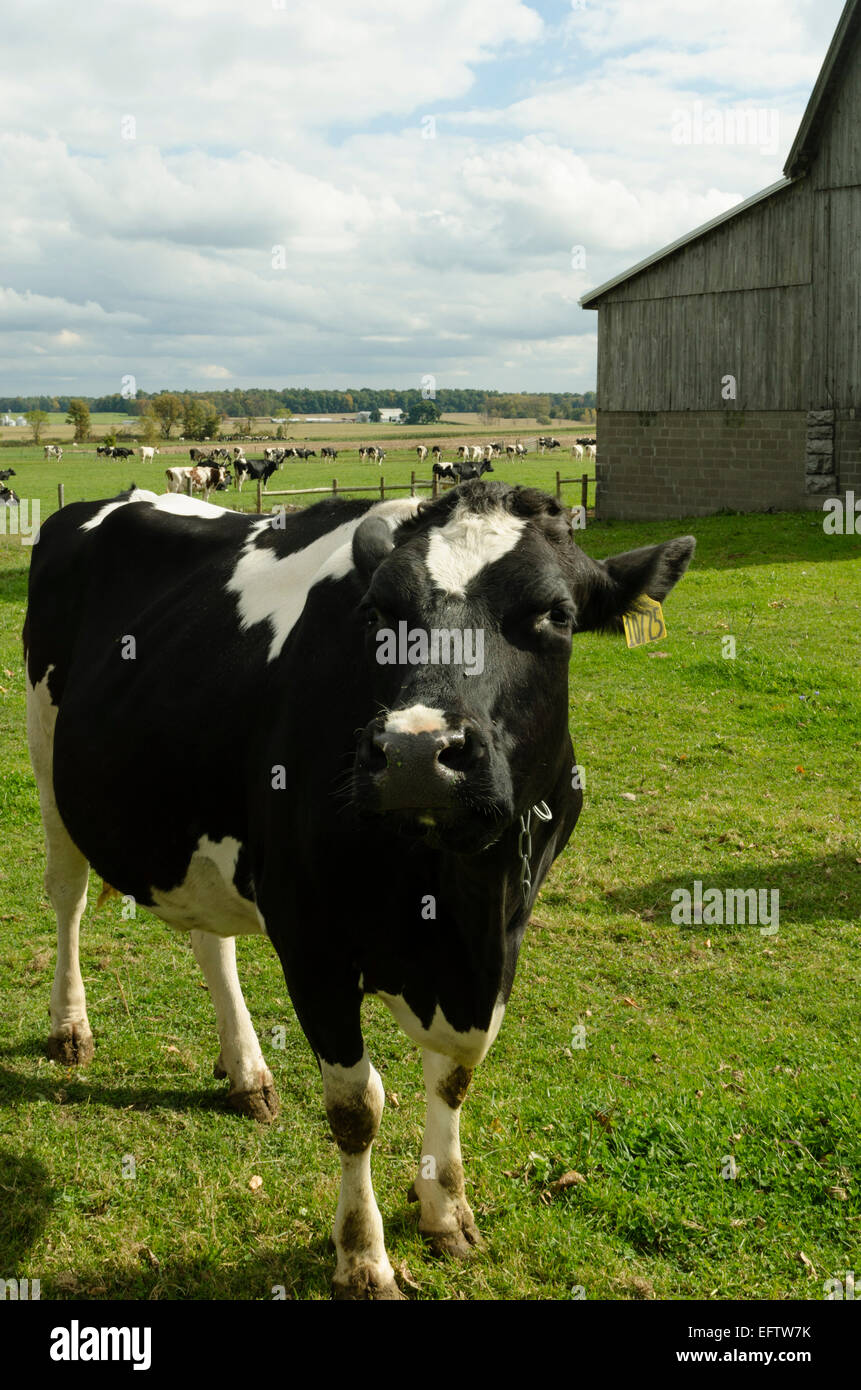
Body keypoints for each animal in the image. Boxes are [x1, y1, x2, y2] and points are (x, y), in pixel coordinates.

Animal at [23, 481, 694, 1299]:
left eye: (555, 616)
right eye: (378, 613)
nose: (414, 752)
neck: (458, 904)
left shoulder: (504, 935)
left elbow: (455, 1076)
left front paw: (446, 1210)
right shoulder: (314, 945)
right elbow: (356, 1108)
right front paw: (363, 1258)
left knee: (211, 942)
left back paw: (246, 1071)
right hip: (48, 760)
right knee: (68, 896)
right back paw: (70, 1027)